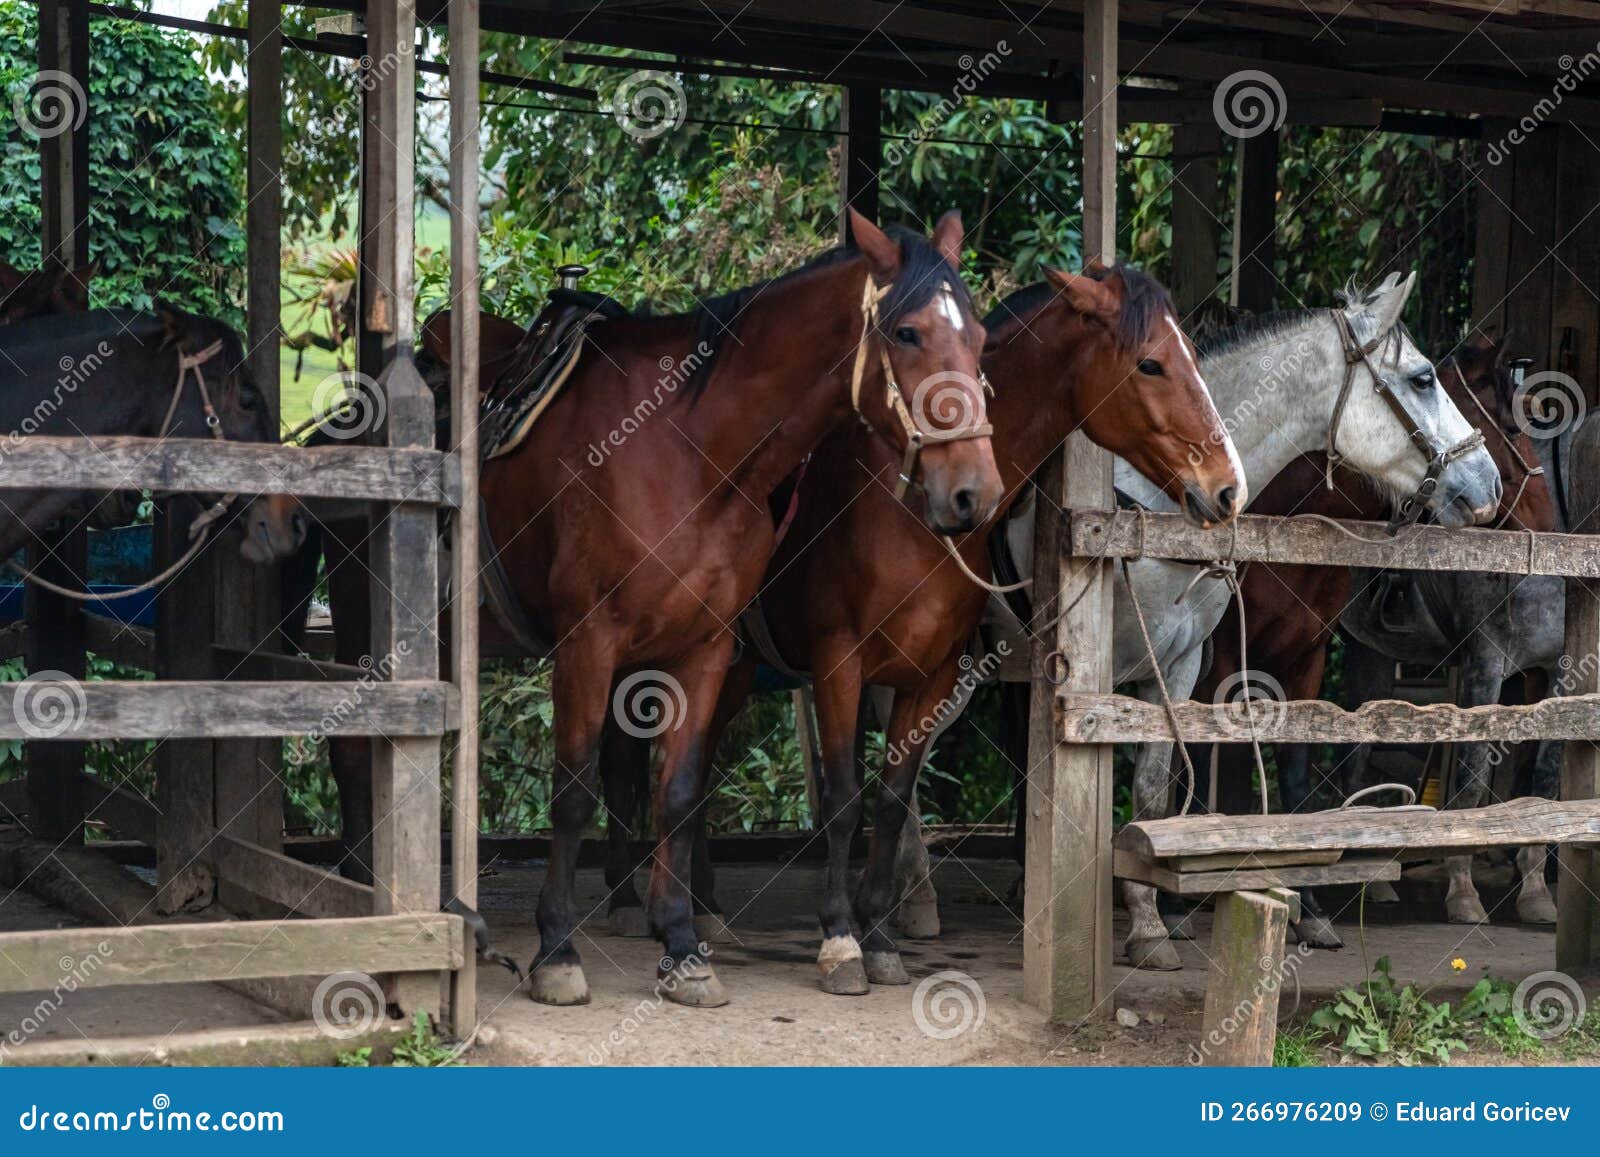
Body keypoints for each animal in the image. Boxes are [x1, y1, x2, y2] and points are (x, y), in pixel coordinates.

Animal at [299, 210, 1007, 1008]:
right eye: (908, 333)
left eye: (980, 337)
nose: (974, 493)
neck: (692, 452)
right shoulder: (589, 643)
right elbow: (574, 792)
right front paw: (557, 949)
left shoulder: (704, 649)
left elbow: (678, 790)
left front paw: (681, 946)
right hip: (368, 634)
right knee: (354, 749)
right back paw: (367, 891)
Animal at [893, 273, 1505, 969]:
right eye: (1424, 378)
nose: (1488, 485)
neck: (1156, 499)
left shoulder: (1181, 665)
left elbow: (1156, 788)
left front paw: (1148, 922)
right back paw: (915, 900)